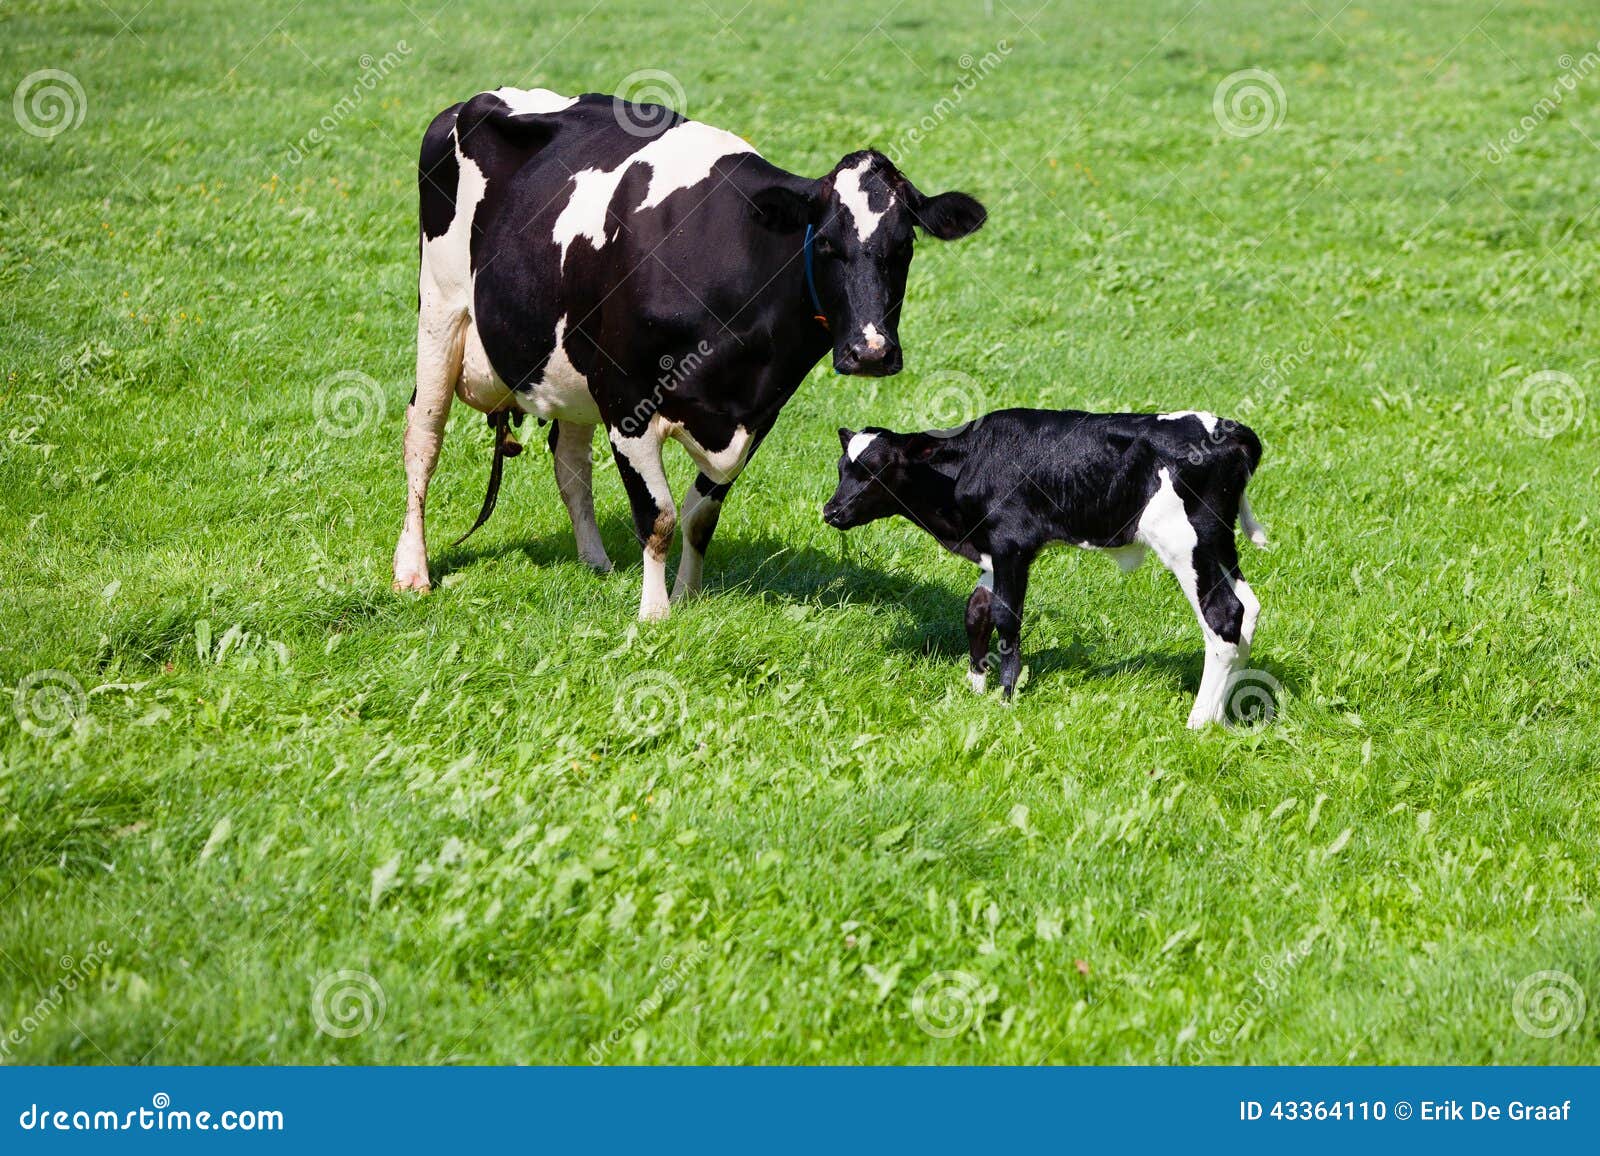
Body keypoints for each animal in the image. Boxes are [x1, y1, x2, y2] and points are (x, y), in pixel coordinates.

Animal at [391, 86, 987, 620]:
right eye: (824, 244)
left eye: (903, 247)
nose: (871, 351)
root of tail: (472, 101)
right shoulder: (626, 400)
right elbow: (658, 517)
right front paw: (654, 615)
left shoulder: (757, 414)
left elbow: (700, 518)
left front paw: (686, 596)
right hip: (439, 312)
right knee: (423, 437)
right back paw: (413, 570)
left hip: (568, 363)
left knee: (570, 460)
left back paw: (595, 562)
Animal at [821, 408, 1268, 727]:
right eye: (842, 468)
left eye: (876, 470)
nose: (831, 511)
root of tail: (1228, 428)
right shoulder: (993, 550)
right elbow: (976, 611)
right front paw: (975, 688)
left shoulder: (1011, 544)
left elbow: (1006, 617)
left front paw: (1006, 696)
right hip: (1218, 543)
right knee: (1247, 609)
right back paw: (1222, 716)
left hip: (1185, 543)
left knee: (1223, 616)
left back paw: (1198, 722)